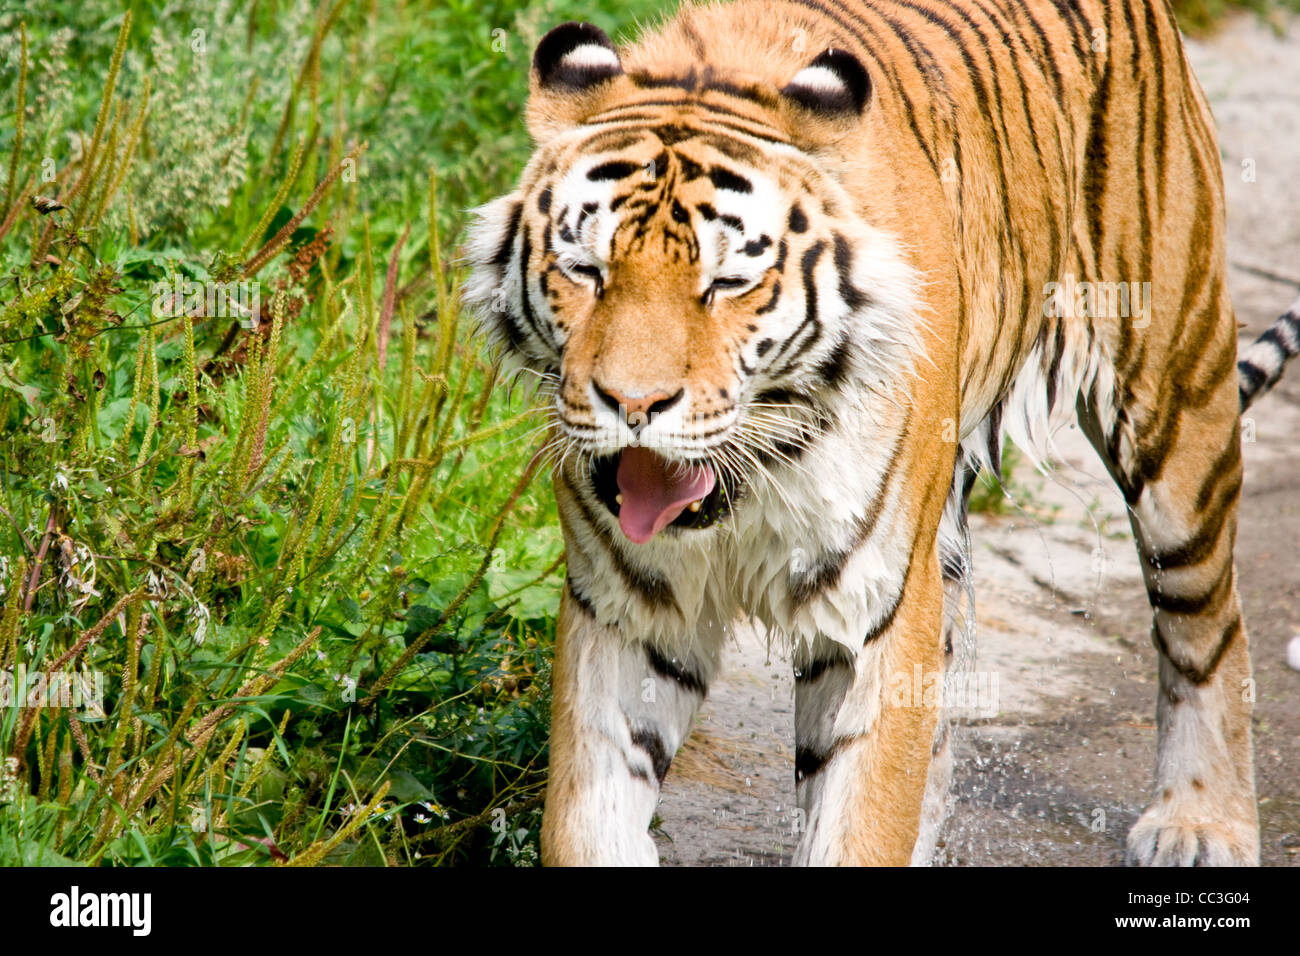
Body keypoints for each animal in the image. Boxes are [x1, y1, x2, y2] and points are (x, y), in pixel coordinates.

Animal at [464, 0, 1300, 866]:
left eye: (726, 283)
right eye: (586, 271)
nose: (632, 404)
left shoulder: (880, 612)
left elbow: (864, 816)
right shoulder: (626, 607)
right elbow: (589, 814)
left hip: (1174, 398)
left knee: (1209, 626)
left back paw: (1199, 823)